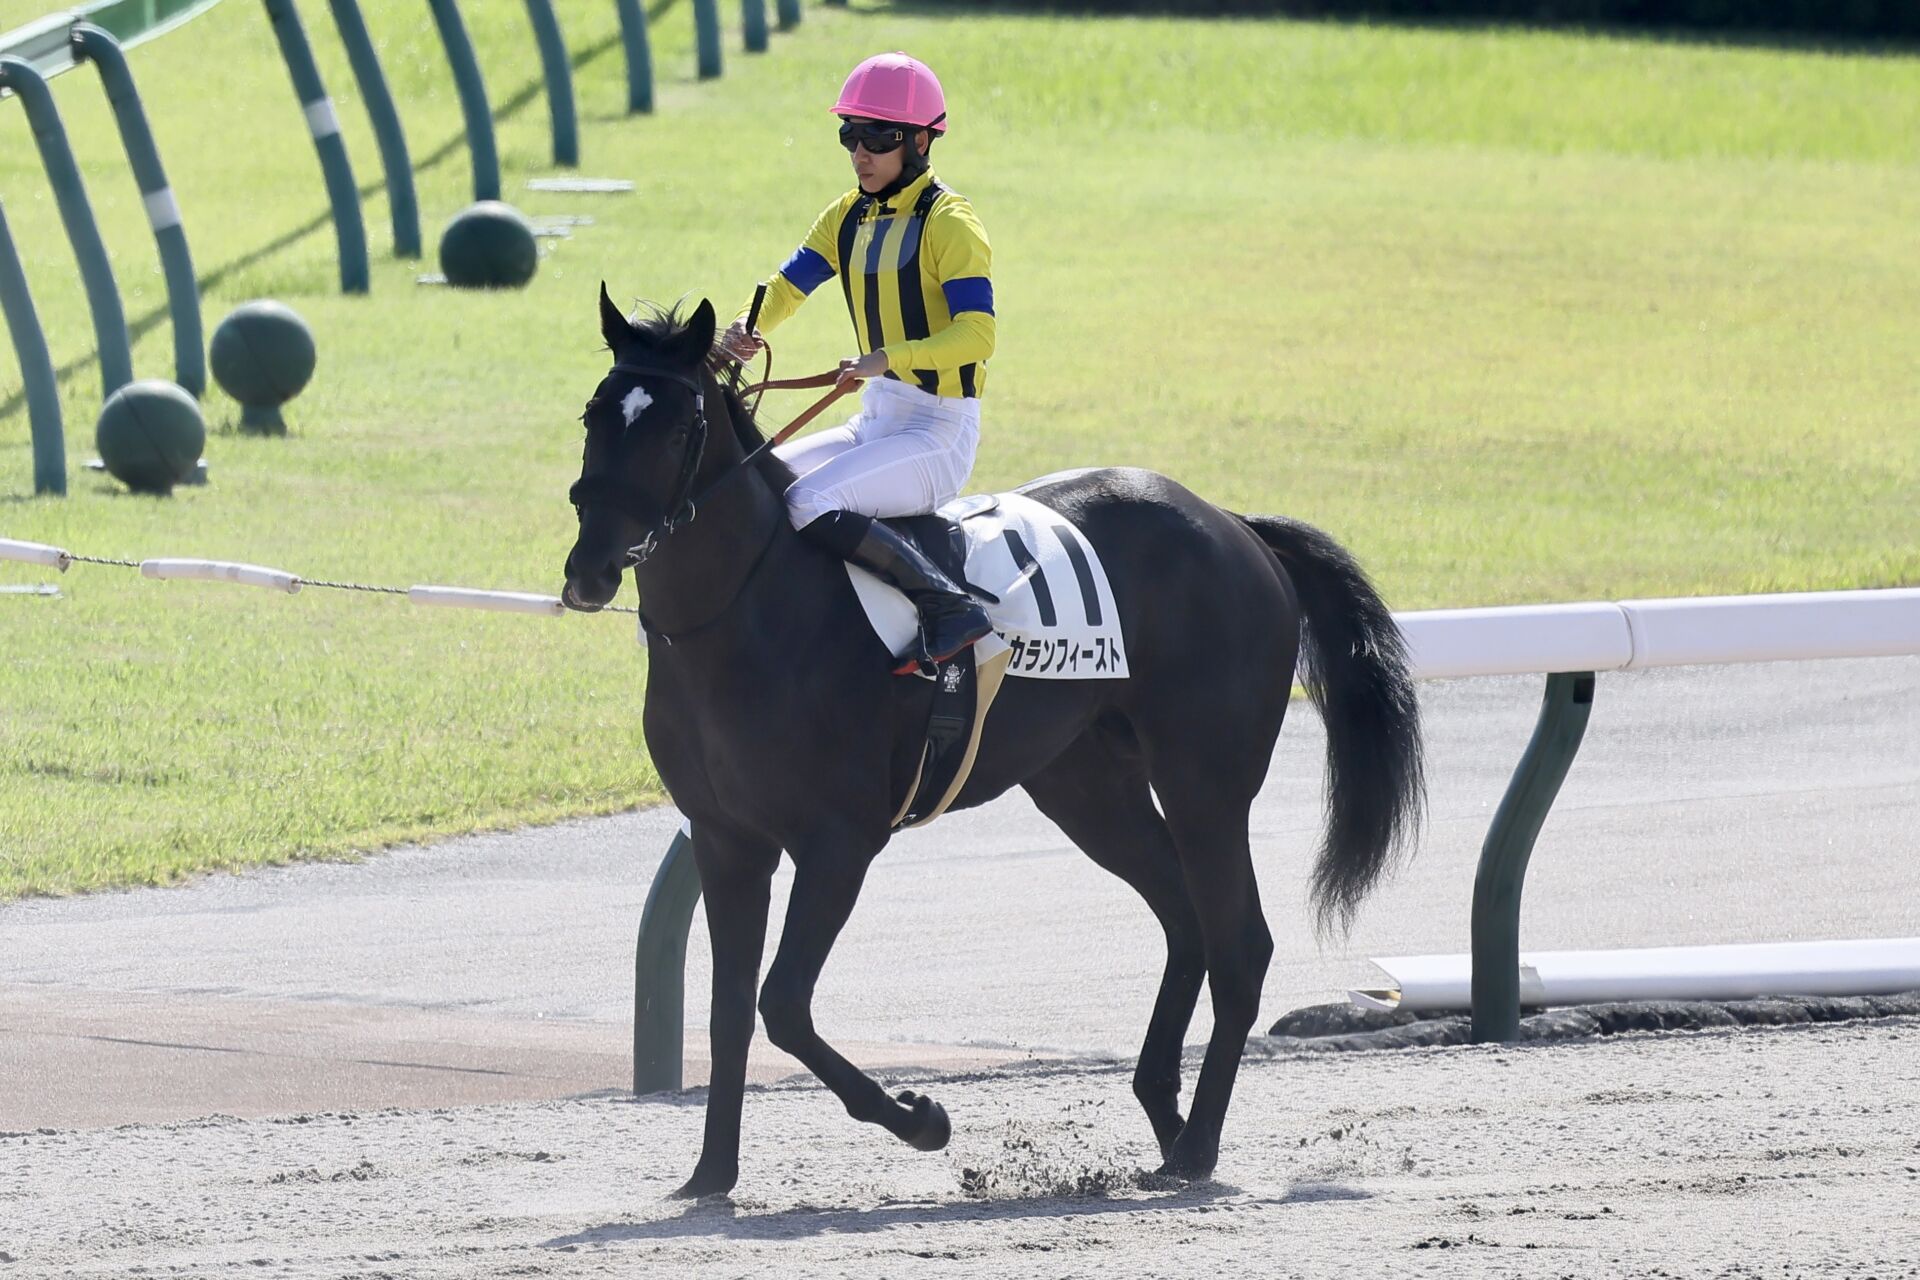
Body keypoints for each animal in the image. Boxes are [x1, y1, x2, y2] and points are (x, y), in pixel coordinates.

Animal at [562, 287, 1424, 1199]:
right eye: (593, 414)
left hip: (1207, 784)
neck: (744, 612)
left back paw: (1196, 1146)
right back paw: (1165, 1115)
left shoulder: (838, 842)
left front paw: (921, 1118)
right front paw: (710, 1173)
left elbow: (784, 1004)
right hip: (1088, 789)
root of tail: (1234, 525)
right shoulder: (727, 840)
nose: (589, 571)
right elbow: (729, 1011)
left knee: (1240, 943)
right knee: (1185, 920)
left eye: (675, 429)